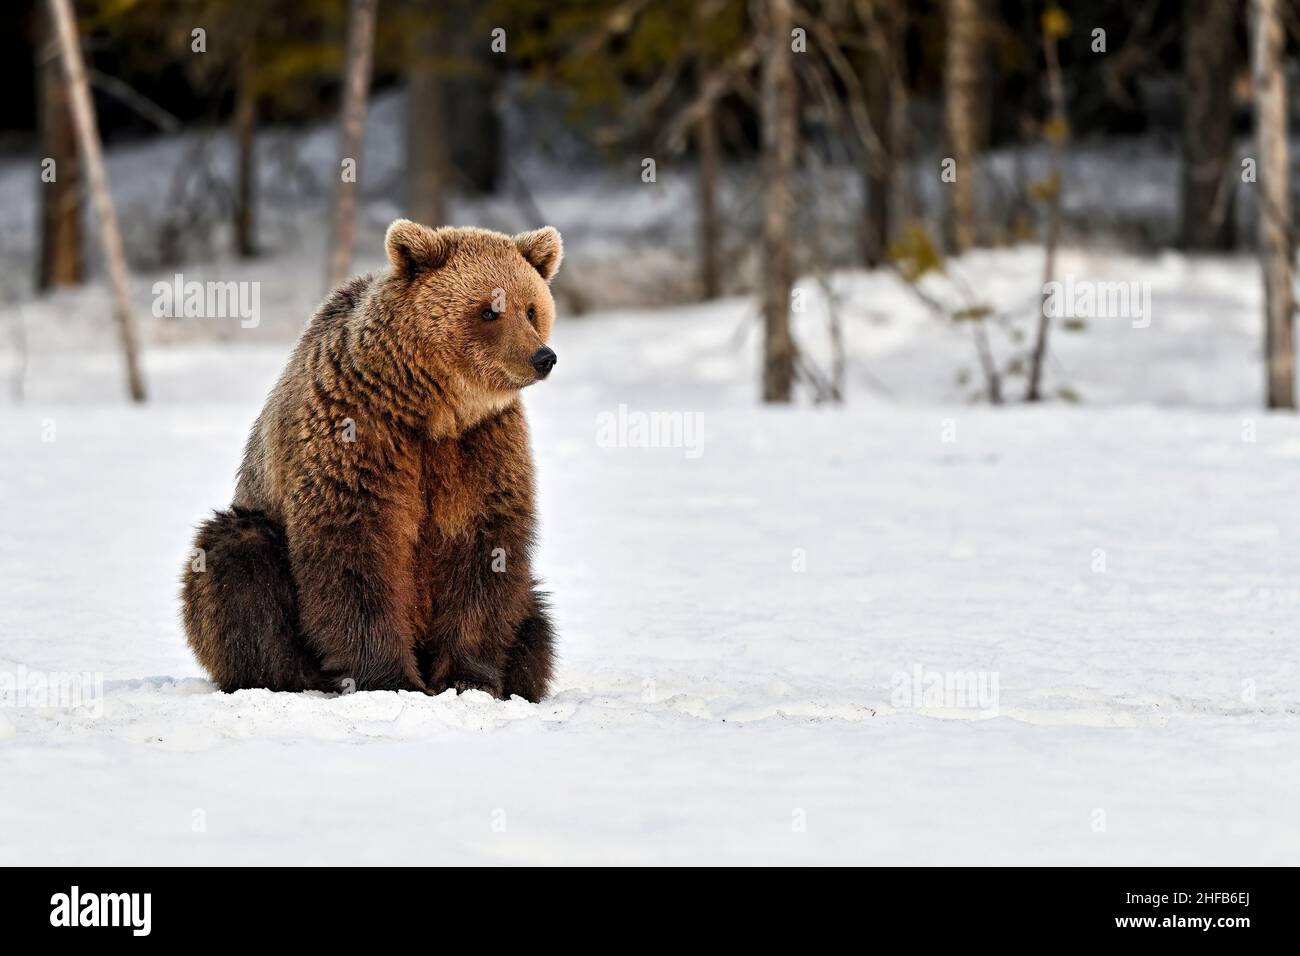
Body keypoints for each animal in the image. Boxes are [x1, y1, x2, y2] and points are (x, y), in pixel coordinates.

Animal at [180, 219, 563, 702]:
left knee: (536, 622)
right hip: (255, 530)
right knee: (237, 562)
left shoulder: (482, 444)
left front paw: (468, 678)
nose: (542, 357)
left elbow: (485, 551)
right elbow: (356, 552)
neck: (433, 409)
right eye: (489, 311)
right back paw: (281, 677)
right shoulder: (360, 431)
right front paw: (388, 679)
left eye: (531, 309)